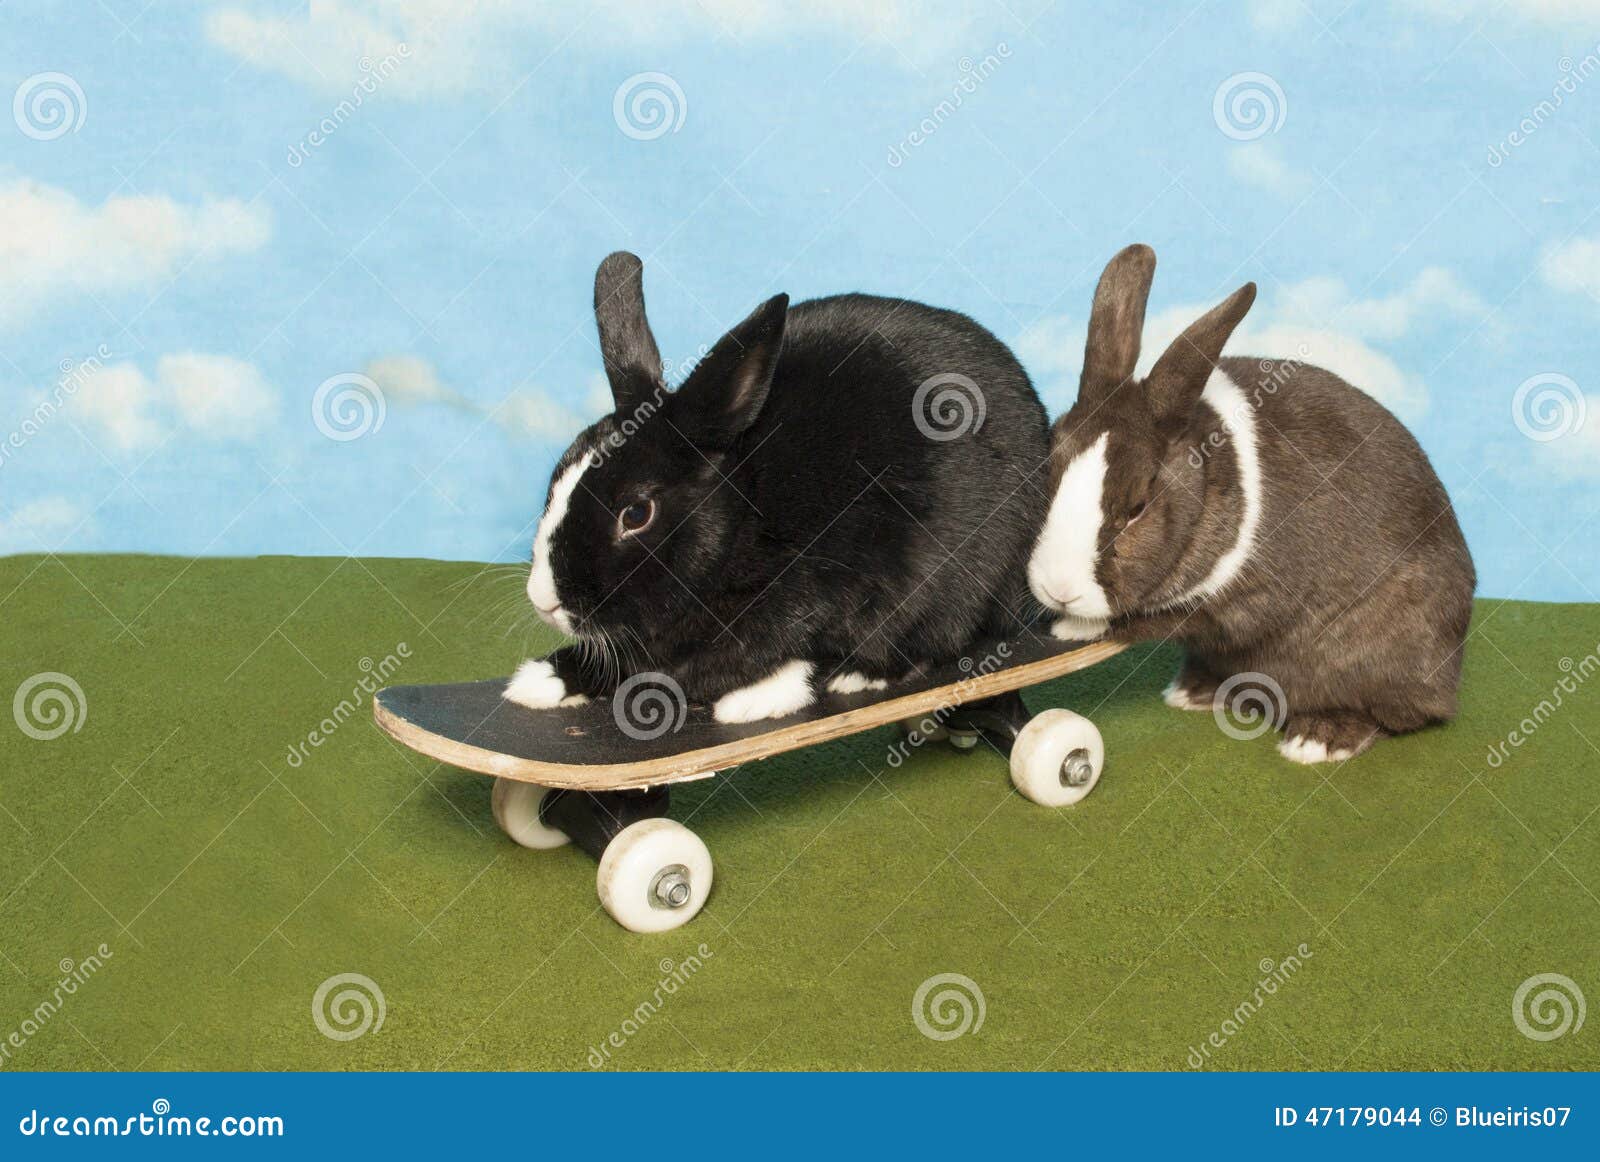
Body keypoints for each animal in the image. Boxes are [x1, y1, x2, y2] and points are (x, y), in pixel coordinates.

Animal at [505, 251, 1051, 724]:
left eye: (636, 514)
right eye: (559, 473)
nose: (543, 600)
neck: (743, 521)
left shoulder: (841, 591)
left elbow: (806, 655)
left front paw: (753, 700)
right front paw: (538, 682)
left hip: (957, 578)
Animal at [1028, 244, 1475, 763]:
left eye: (1138, 506)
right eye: (1047, 466)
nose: (1057, 589)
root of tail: (1450, 677)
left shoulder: (1239, 604)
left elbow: (1147, 620)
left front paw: (1070, 627)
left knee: (1391, 713)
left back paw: (1318, 739)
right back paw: (1196, 691)